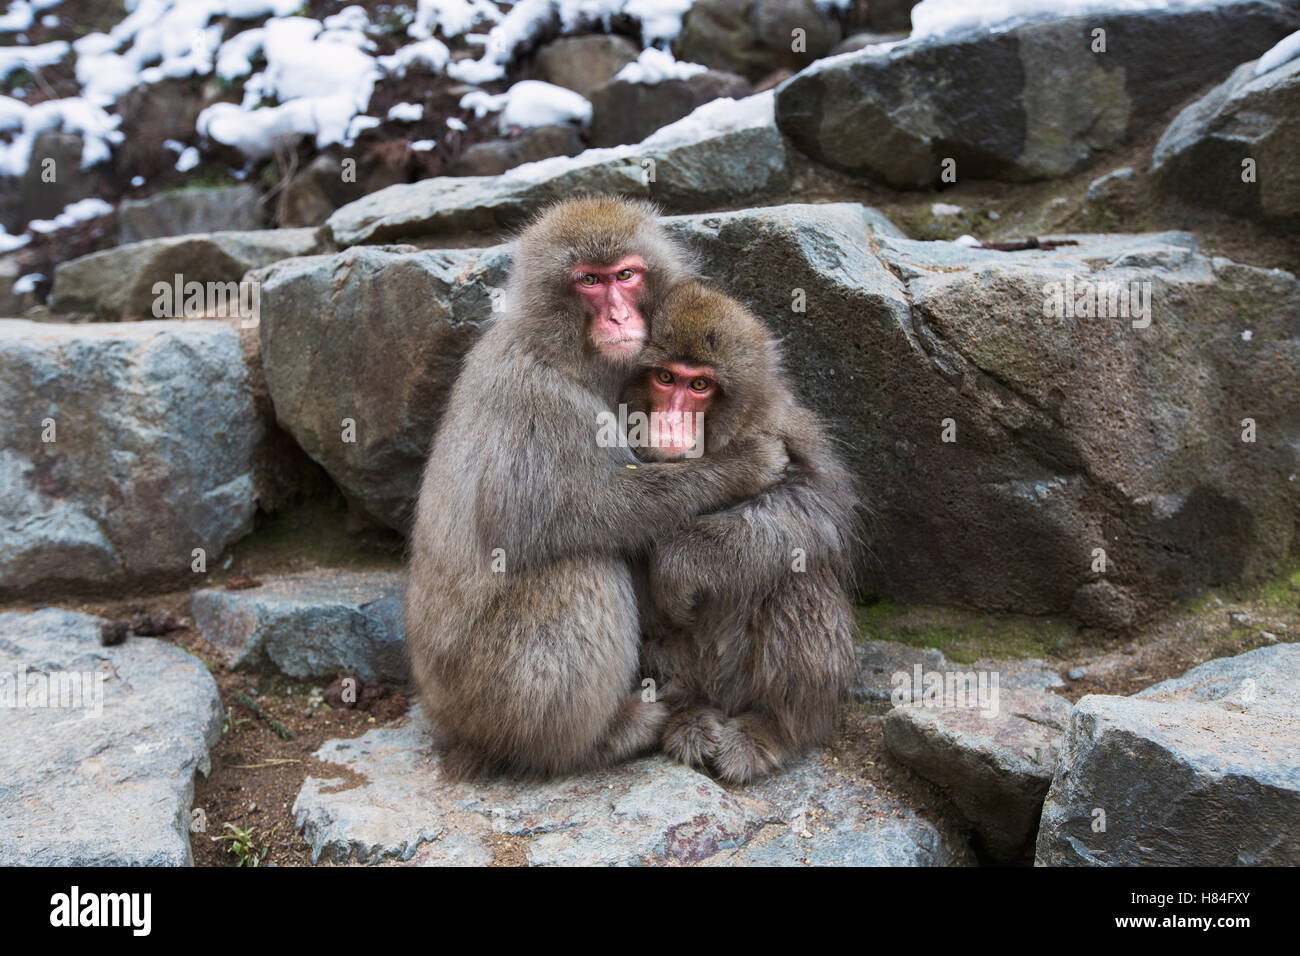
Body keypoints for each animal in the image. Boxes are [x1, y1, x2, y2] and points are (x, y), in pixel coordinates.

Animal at [404, 198, 788, 780]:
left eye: (624, 276)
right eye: (589, 281)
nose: (618, 317)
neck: (568, 355)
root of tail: (442, 714)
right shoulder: (540, 400)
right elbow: (567, 516)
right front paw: (741, 465)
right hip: (487, 695)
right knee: (580, 565)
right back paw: (595, 740)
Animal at [625, 281, 861, 785]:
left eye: (699, 385)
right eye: (665, 378)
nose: (671, 423)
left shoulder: (783, 423)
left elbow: (816, 504)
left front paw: (679, 564)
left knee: (793, 576)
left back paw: (774, 728)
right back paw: (686, 715)